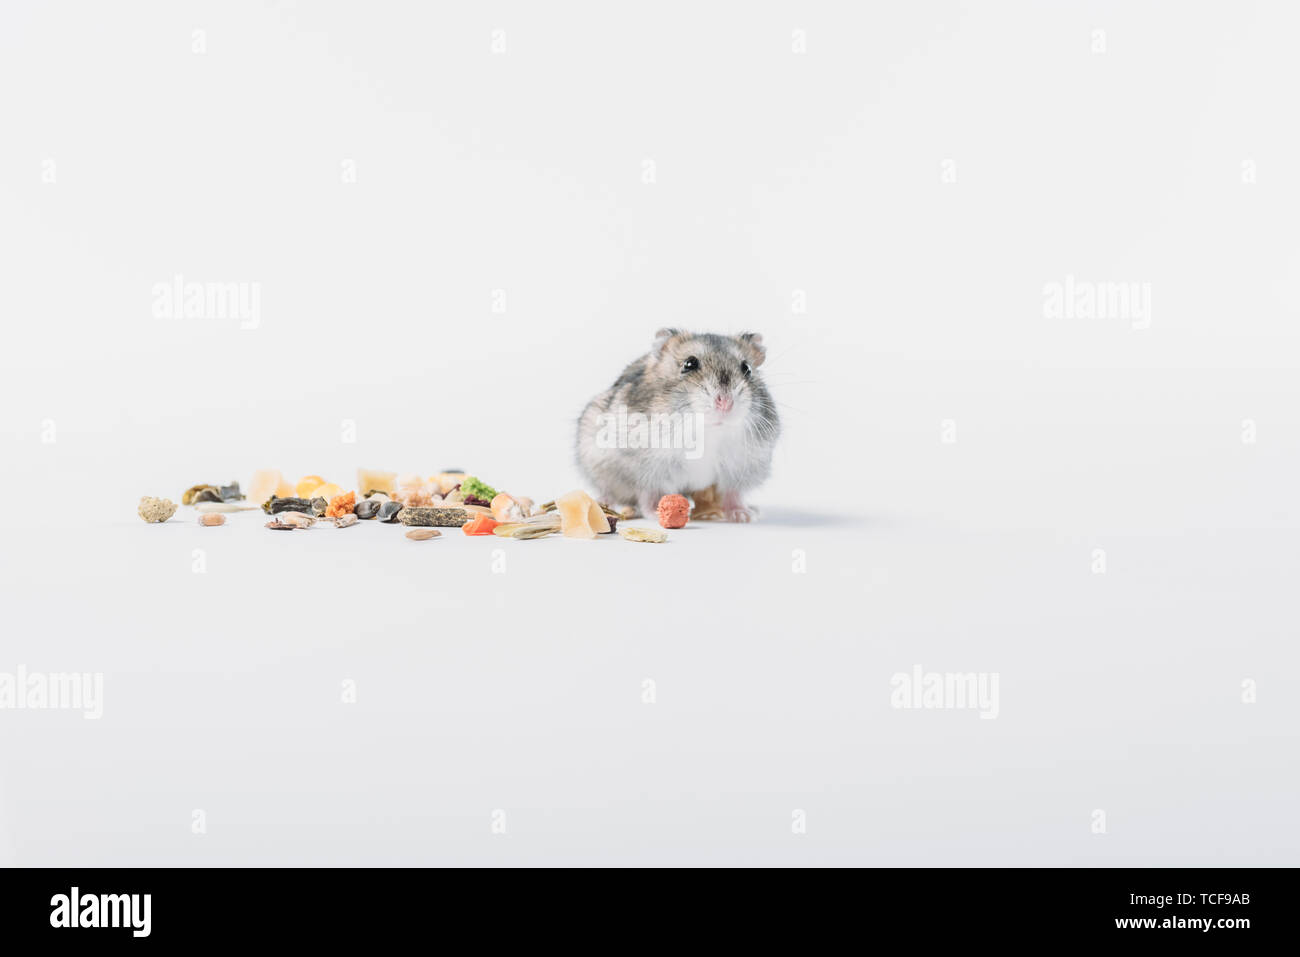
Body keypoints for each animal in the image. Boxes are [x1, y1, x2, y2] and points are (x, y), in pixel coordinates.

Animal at [576, 328, 780, 522]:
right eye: (689, 364)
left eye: (747, 368)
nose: (725, 404)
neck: (707, 431)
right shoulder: (645, 468)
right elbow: (648, 494)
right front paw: (656, 513)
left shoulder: (741, 467)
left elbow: (732, 493)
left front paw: (743, 516)